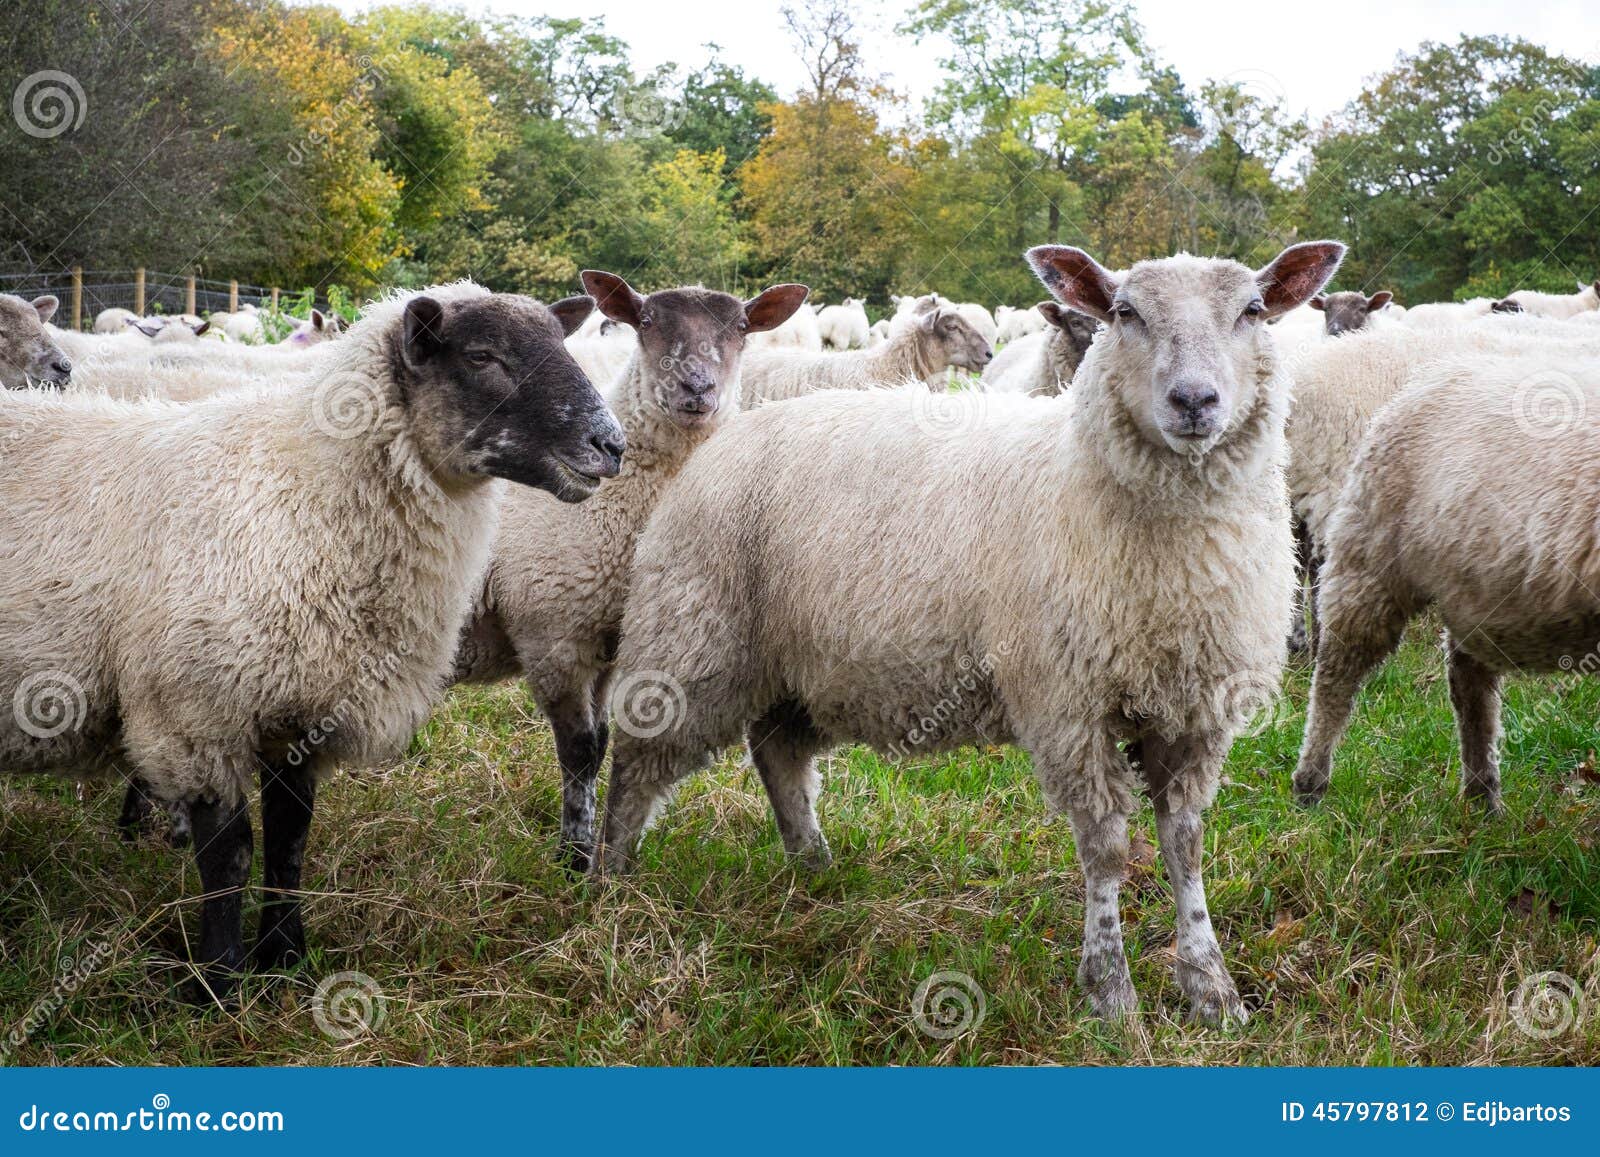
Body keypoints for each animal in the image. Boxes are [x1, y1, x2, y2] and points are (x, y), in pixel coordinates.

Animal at [0, 283, 626, 996]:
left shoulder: (303, 710)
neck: (306, 493)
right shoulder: (196, 712)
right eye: (483, 357)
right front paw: (218, 982)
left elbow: (290, 839)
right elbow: (230, 853)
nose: (612, 445)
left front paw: (285, 960)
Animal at [452, 272, 809, 869]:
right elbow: (580, 749)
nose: (695, 388)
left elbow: (598, 746)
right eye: (644, 320)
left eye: (741, 326)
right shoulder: (551, 629)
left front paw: (581, 851)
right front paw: (574, 860)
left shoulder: (606, 643)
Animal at [1293, 350, 1600, 813]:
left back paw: (1481, 796)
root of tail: (1438, 372)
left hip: (1478, 590)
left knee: (1470, 687)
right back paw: (1310, 783)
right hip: (1371, 553)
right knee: (1335, 676)